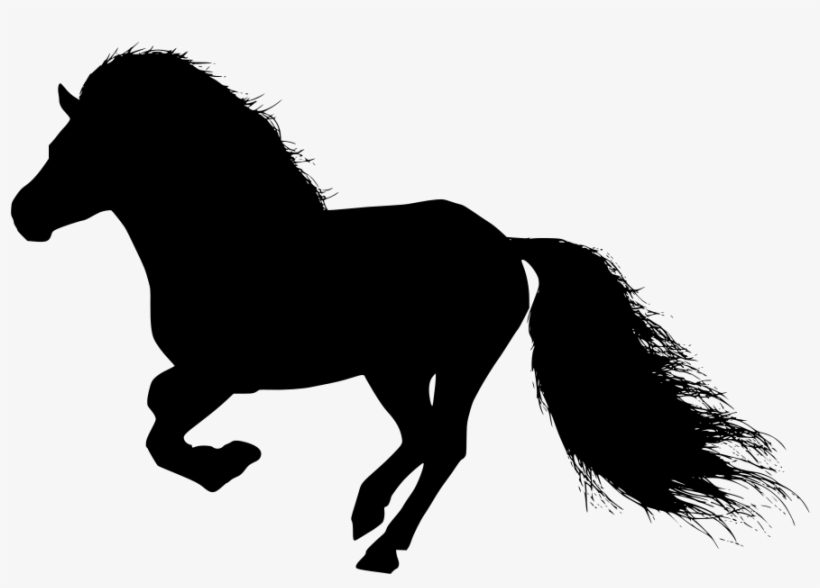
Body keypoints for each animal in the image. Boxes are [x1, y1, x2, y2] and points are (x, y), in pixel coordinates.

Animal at [10, 48, 798, 574]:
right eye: (56, 144)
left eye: (85, 152)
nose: (24, 216)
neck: (235, 243)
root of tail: (503, 243)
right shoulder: (211, 373)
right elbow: (157, 407)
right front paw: (225, 461)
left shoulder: (230, 373)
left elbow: (160, 427)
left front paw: (228, 463)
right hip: (400, 369)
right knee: (424, 439)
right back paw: (369, 515)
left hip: (451, 363)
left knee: (443, 444)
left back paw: (381, 542)